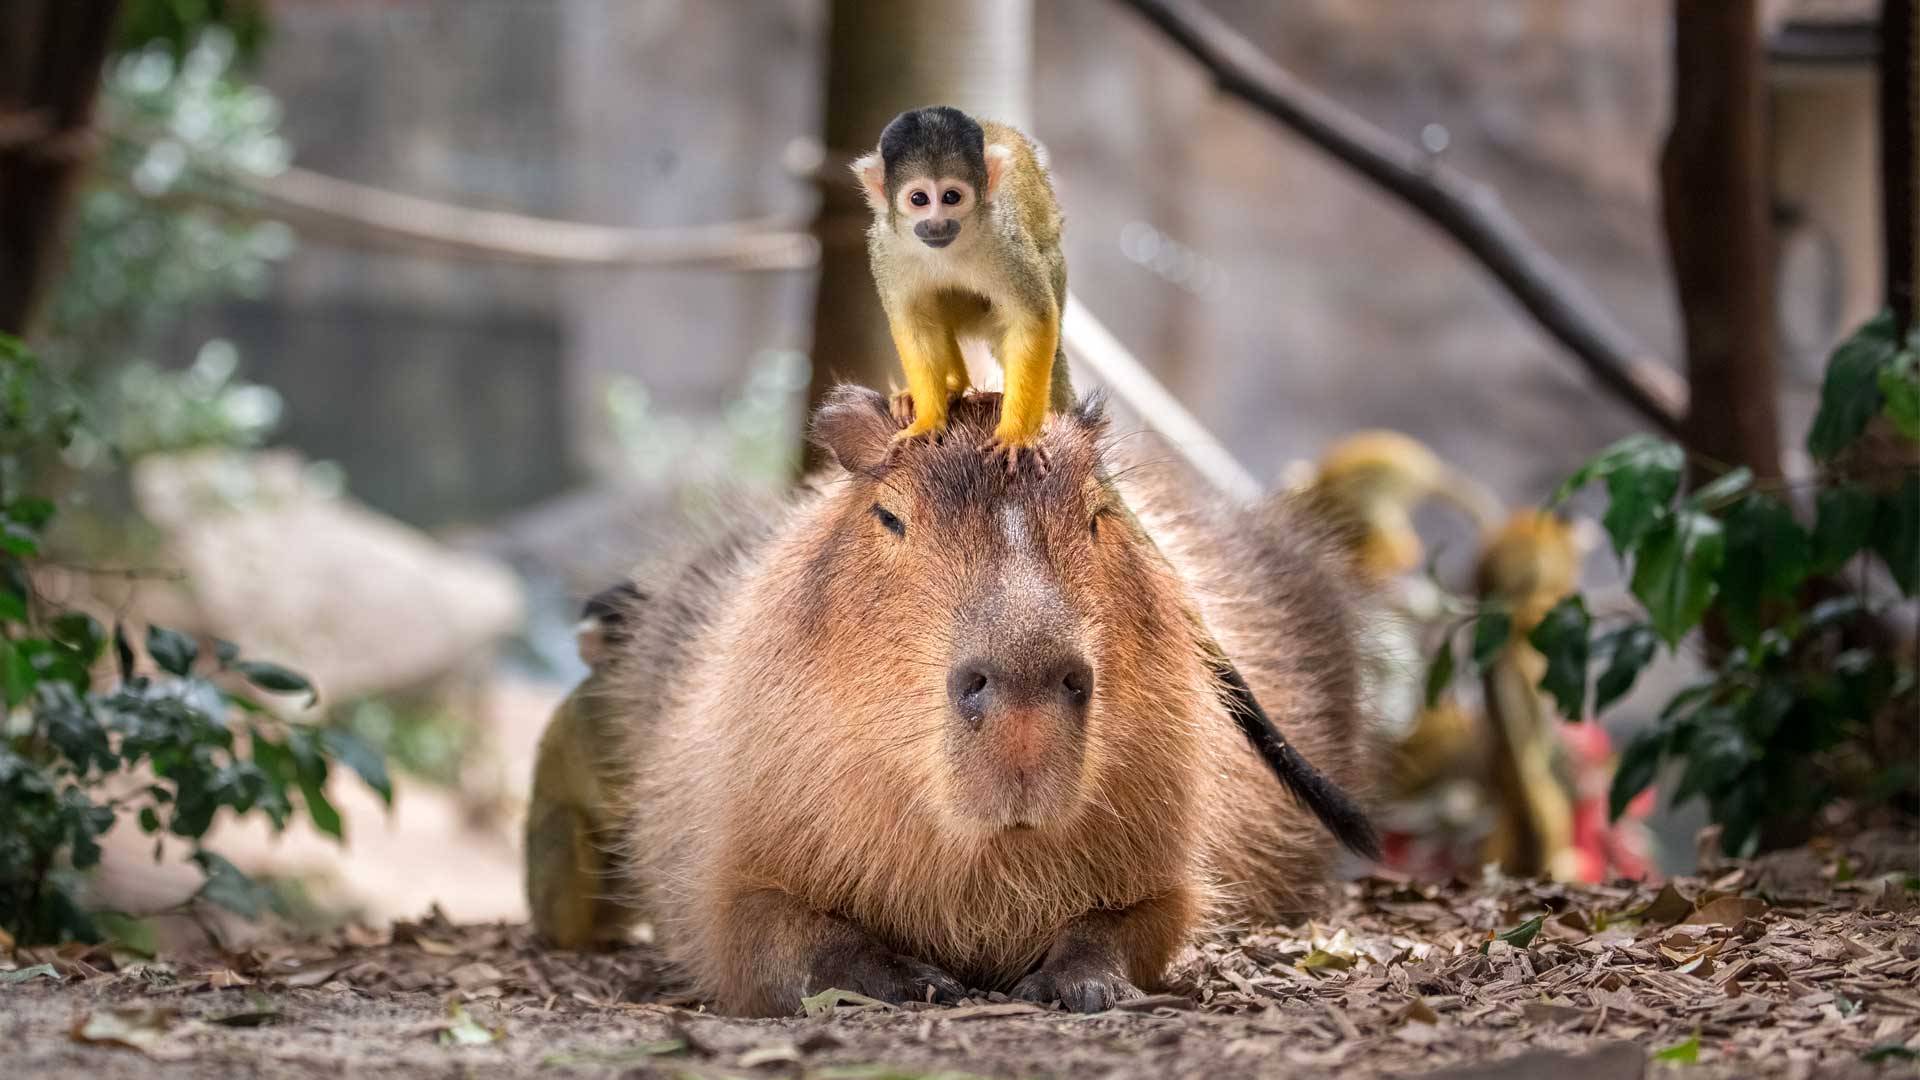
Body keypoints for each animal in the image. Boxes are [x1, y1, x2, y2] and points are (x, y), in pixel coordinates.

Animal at [860, 107, 1075, 472]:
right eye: (919, 199)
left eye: (951, 197)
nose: (936, 224)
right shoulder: (886, 248)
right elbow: (916, 324)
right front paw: (927, 422)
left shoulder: (1004, 240)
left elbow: (1033, 320)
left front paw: (1017, 436)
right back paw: (950, 386)